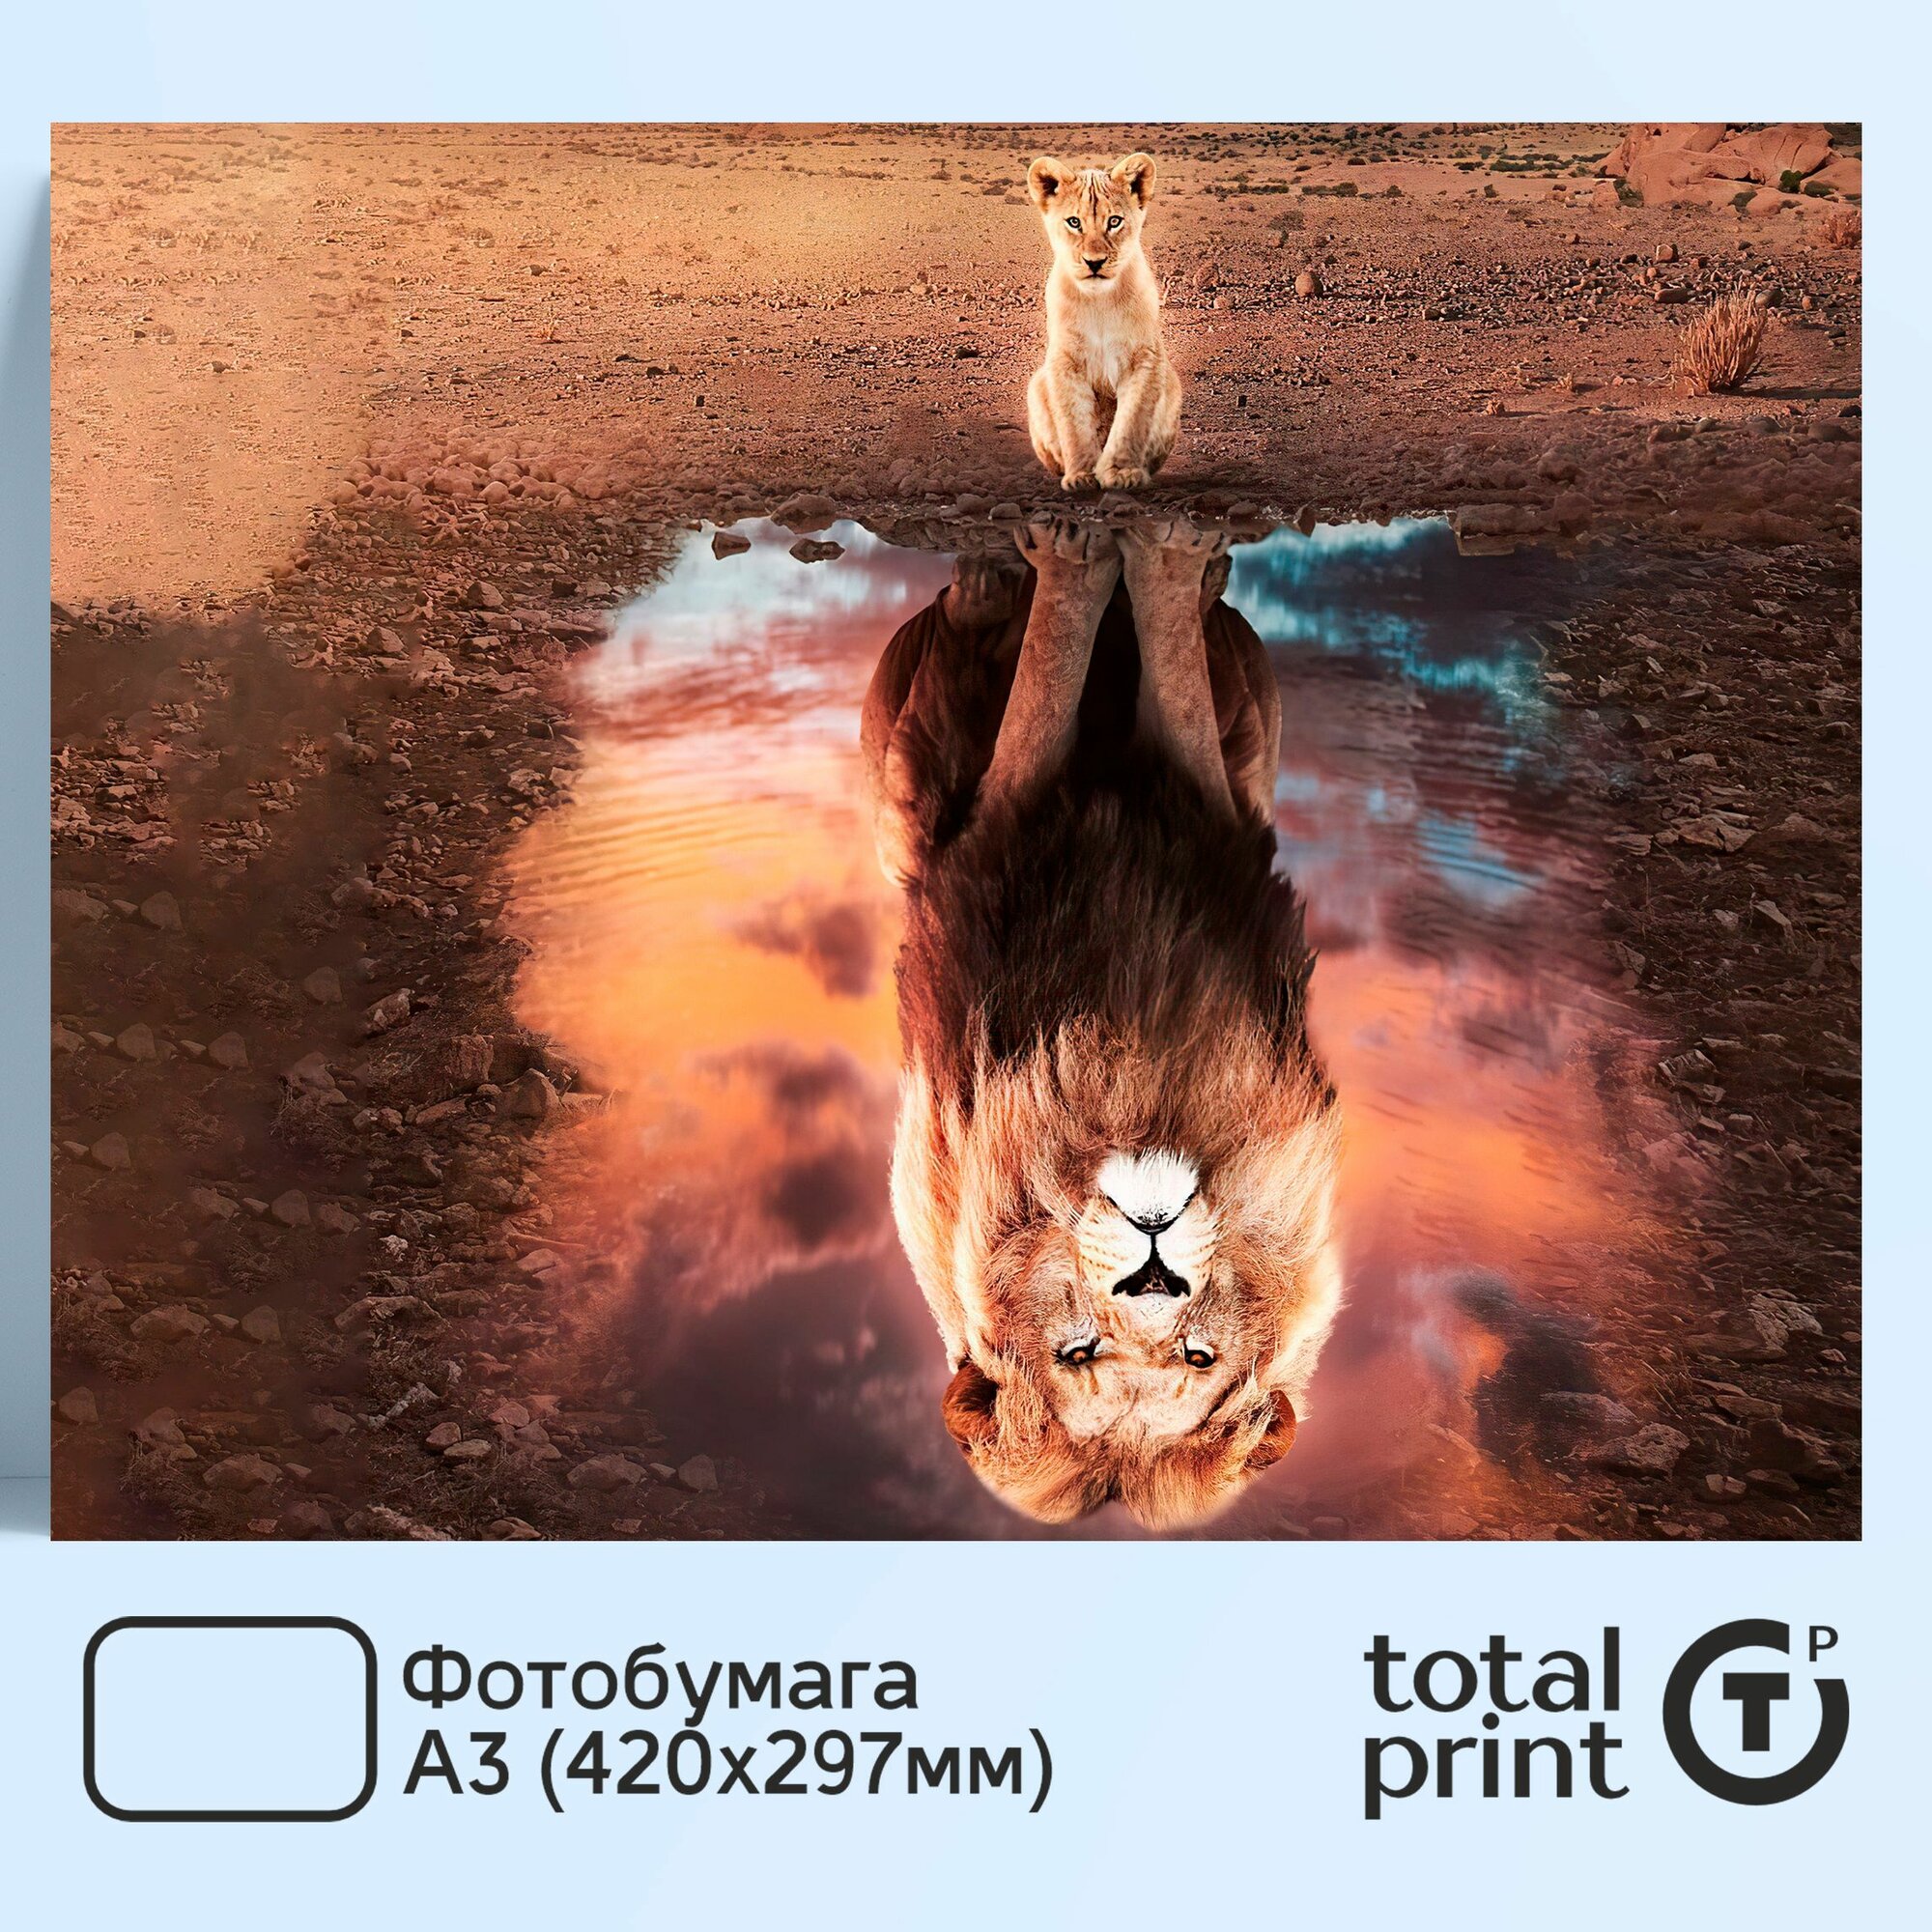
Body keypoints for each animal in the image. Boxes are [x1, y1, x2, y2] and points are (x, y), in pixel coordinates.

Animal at [861, 517, 1341, 1530]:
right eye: (1078, 1352)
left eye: (1197, 1356)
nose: (1154, 1264)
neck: (1129, 1081)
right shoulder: (999, 820)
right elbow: (1050, 673)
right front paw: (1086, 555)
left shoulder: (1216, 809)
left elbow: (1163, 679)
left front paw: (1159, 556)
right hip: (897, 804)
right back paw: (987, 585)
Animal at [1025, 153, 1183, 494]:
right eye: (1074, 222)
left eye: (1114, 222)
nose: (1094, 262)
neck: (1099, 302)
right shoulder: (1065, 362)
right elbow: (1074, 424)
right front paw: (1082, 475)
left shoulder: (1144, 358)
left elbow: (1131, 422)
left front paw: (1121, 473)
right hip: (1036, 384)